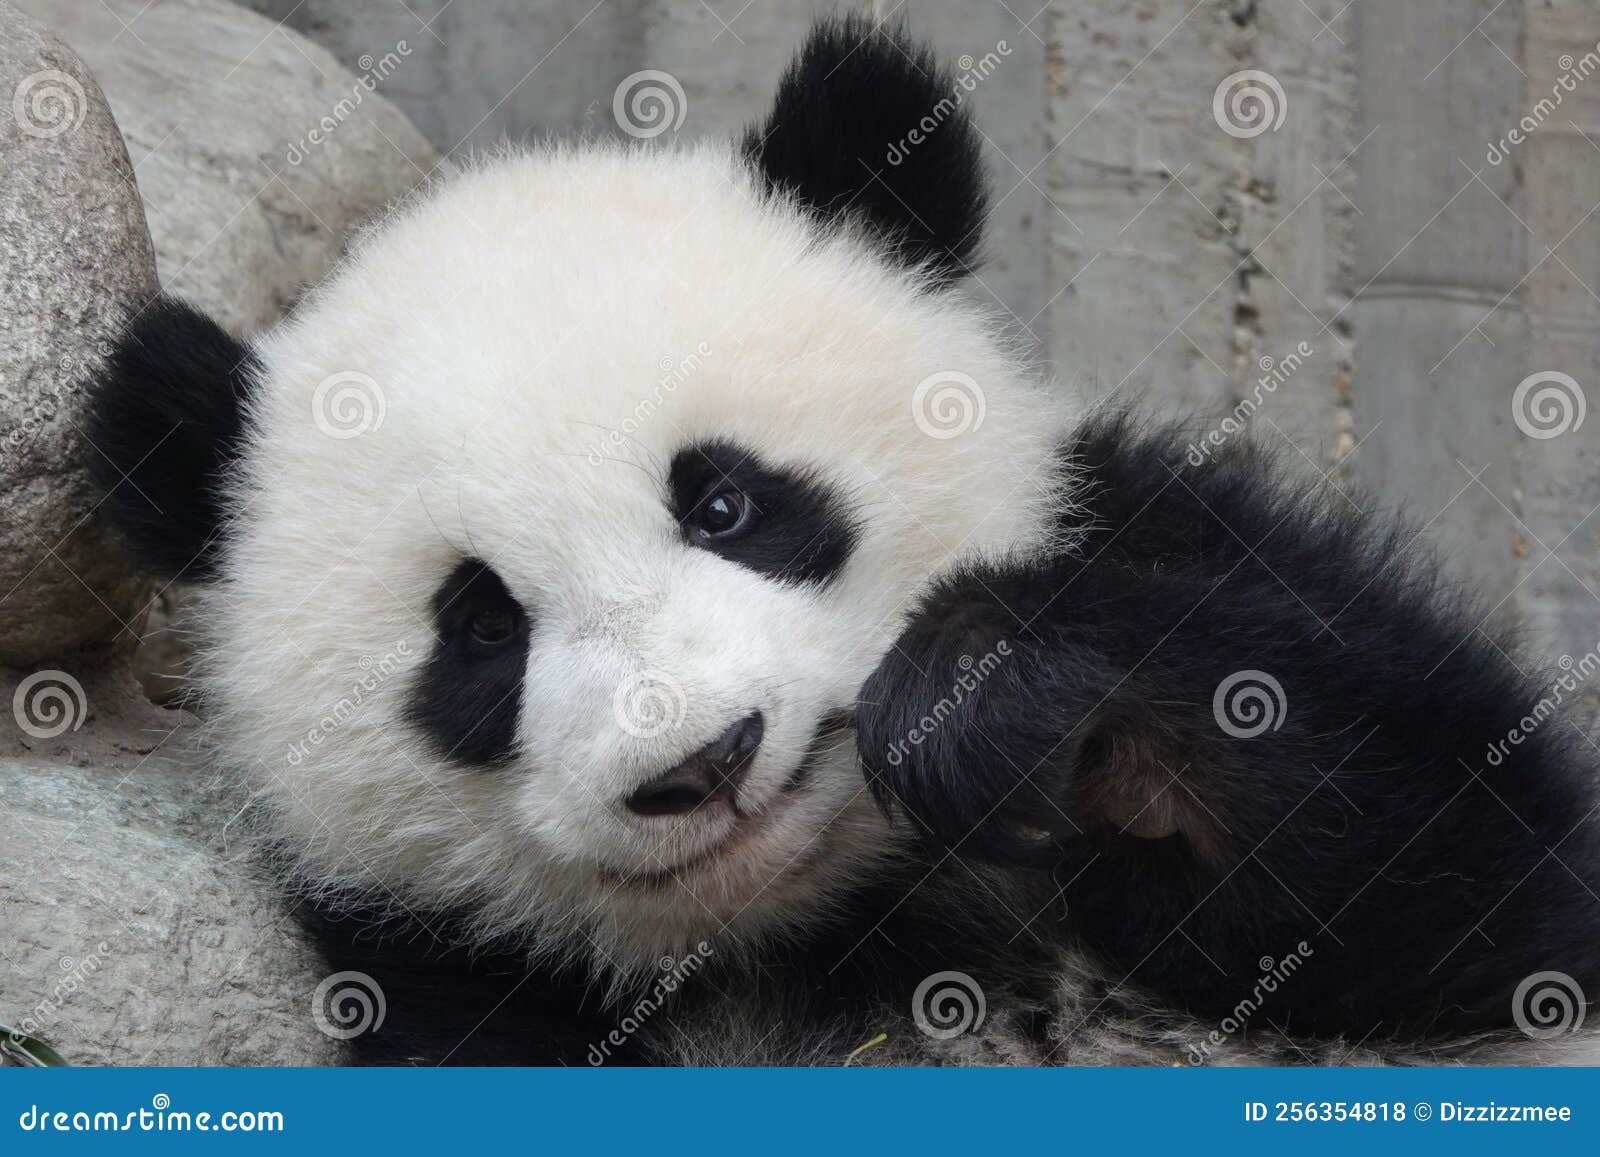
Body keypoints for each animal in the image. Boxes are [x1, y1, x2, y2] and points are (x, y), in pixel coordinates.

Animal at [85, 17, 1599, 1066]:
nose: (702, 763)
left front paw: (998, 693)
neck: (836, 919)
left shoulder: (1161, 531)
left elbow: (1478, 883)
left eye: (726, 504)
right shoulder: (433, 976)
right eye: (482, 626)